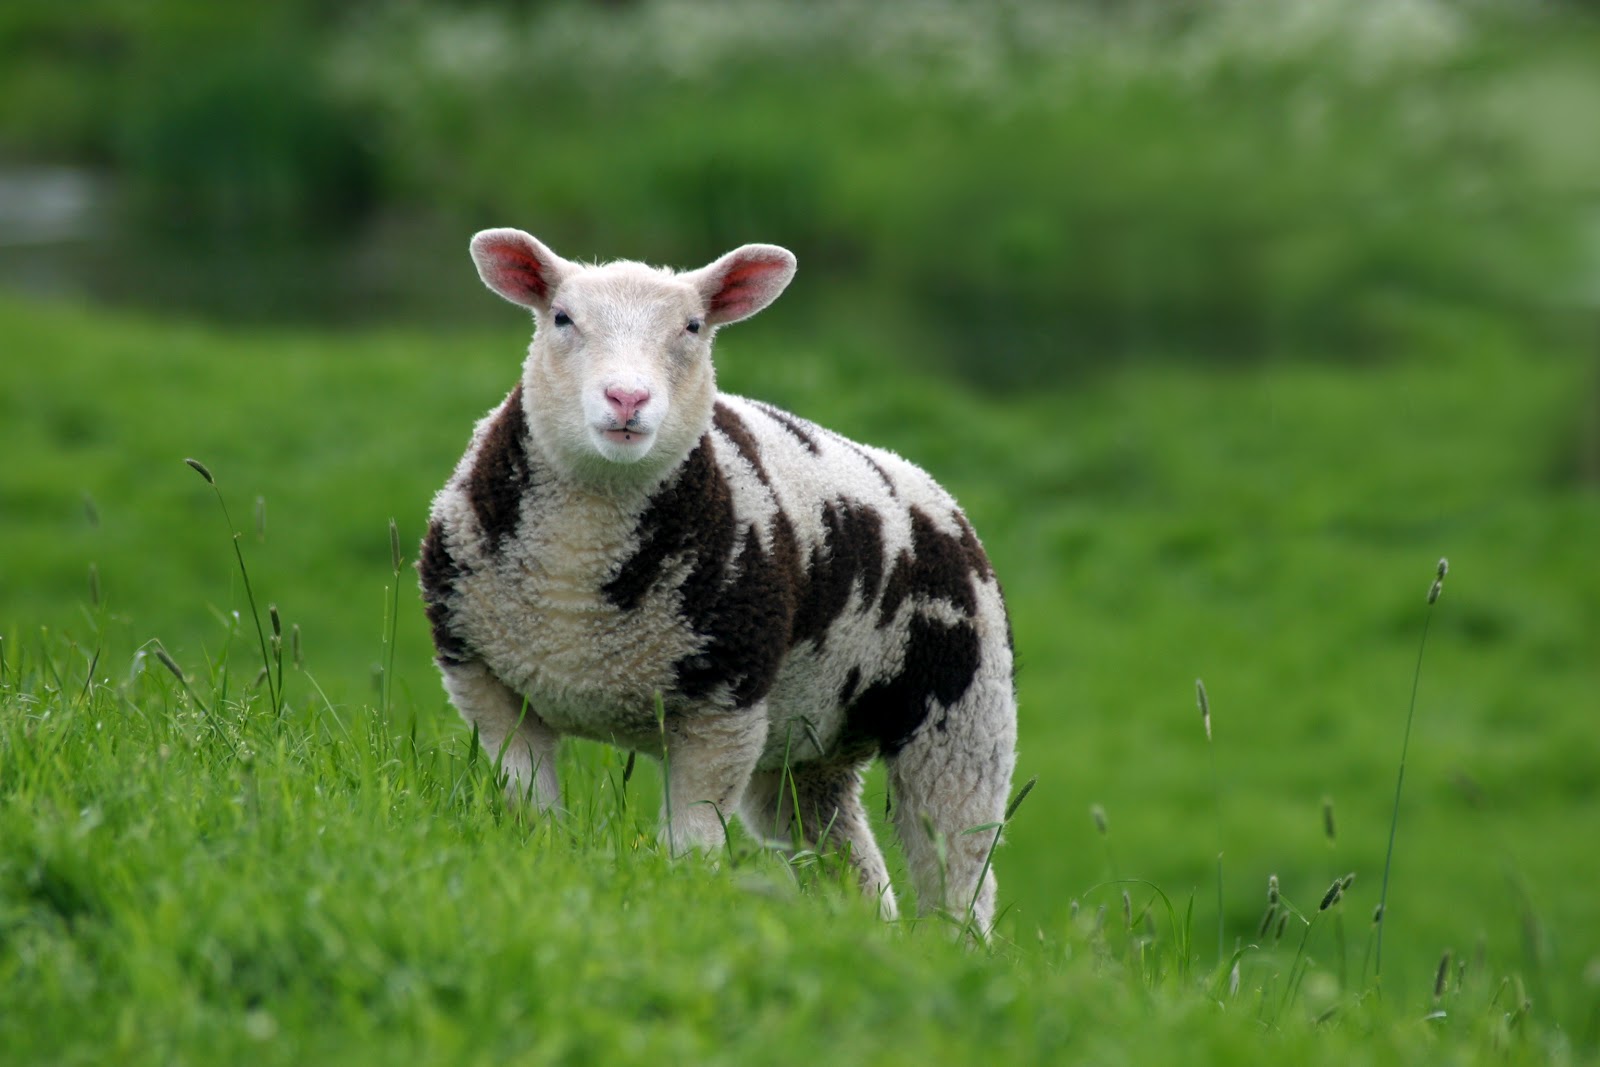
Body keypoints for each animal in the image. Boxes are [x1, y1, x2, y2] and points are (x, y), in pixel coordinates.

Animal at [418, 228, 1017, 929]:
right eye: (562, 318)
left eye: (693, 326)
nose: (627, 399)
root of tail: (934, 493)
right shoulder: (486, 682)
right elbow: (529, 813)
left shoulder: (723, 705)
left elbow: (692, 847)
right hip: (807, 744)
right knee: (846, 860)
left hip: (963, 713)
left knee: (958, 864)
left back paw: (952, 944)